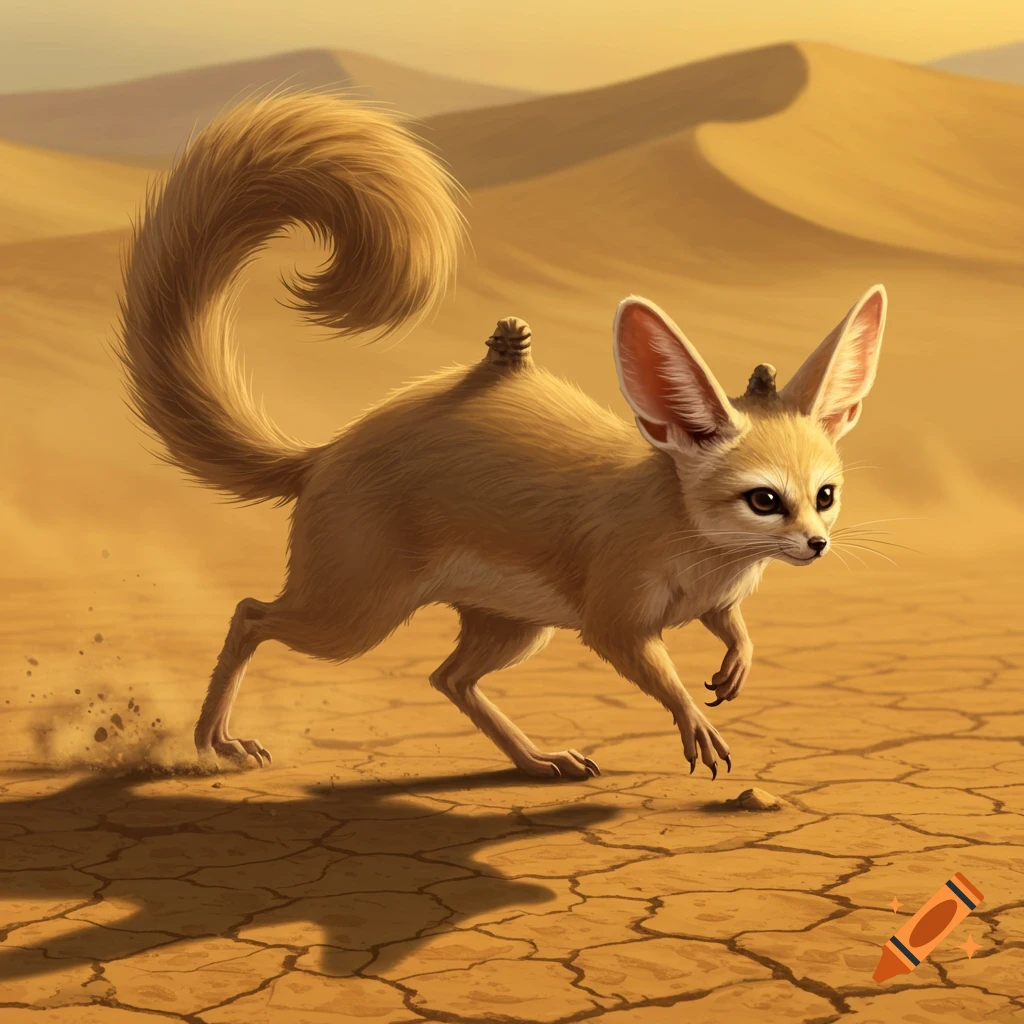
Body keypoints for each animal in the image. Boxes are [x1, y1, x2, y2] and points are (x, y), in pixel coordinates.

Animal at [116, 93, 887, 782]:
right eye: (764, 500)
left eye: (825, 496)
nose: (816, 545)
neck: (699, 544)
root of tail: (325, 452)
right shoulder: (615, 623)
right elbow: (661, 676)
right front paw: (697, 725)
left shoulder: (711, 601)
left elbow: (734, 627)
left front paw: (735, 665)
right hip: (355, 614)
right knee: (252, 615)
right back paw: (216, 742)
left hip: (511, 623)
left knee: (447, 677)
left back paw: (539, 761)